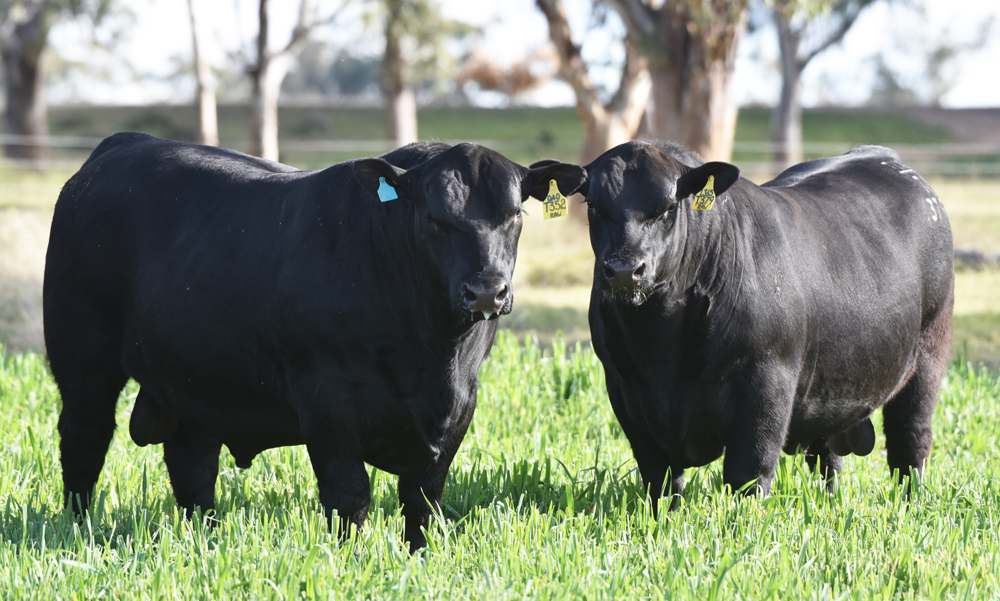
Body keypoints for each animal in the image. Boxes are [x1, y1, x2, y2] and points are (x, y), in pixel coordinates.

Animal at [44, 132, 586, 551]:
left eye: (515, 216)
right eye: (435, 219)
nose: (487, 290)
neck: (433, 354)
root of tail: (122, 145)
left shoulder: (460, 404)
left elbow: (423, 499)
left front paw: (419, 556)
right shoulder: (325, 398)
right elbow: (349, 495)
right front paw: (352, 560)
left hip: (198, 378)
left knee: (192, 464)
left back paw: (206, 538)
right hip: (84, 359)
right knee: (84, 439)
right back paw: (78, 527)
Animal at [574, 140, 953, 511]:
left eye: (668, 207)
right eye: (592, 205)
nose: (625, 269)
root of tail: (881, 155)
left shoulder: (767, 382)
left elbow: (748, 474)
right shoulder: (624, 391)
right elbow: (660, 479)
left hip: (927, 359)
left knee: (909, 445)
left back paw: (910, 505)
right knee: (828, 456)